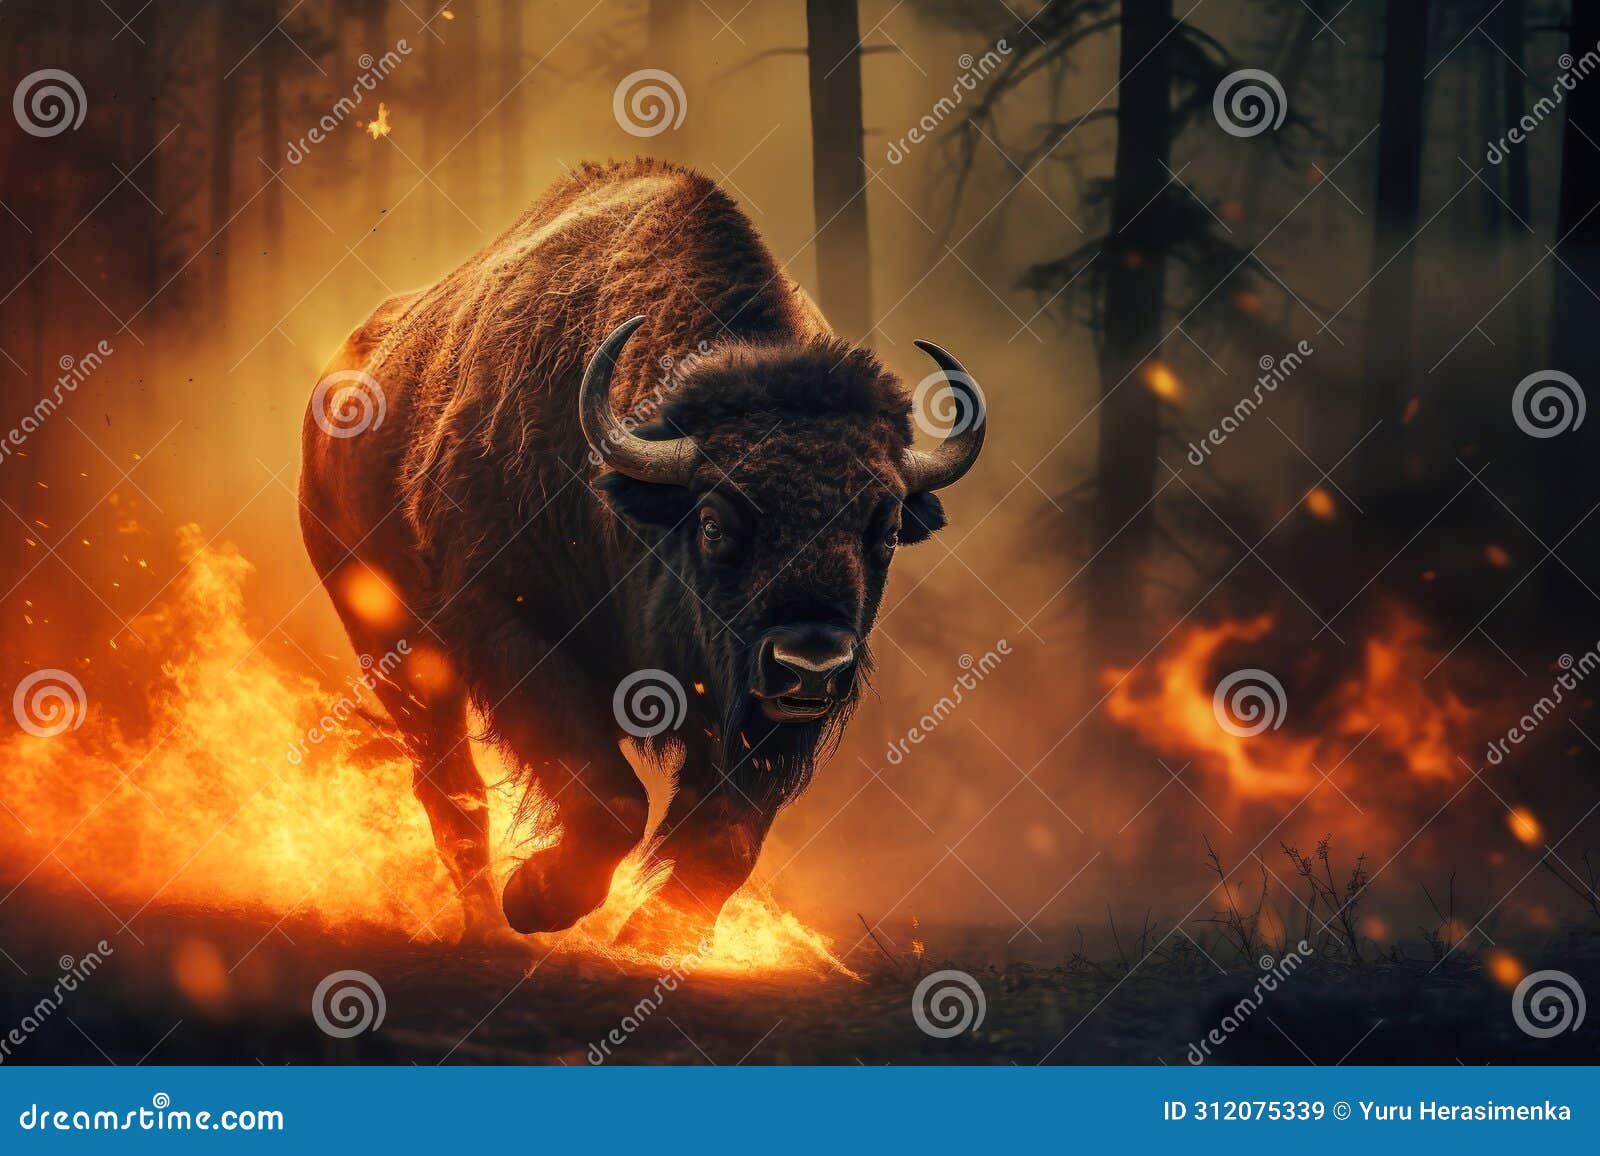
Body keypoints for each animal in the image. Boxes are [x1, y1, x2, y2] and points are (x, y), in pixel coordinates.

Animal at [299, 159, 985, 948]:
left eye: (883, 530)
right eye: (713, 523)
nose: (810, 663)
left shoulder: (748, 720)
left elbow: (725, 837)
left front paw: (650, 940)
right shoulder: (509, 626)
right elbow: (613, 801)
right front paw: (534, 898)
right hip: (389, 641)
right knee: (452, 787)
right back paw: (487, 925)